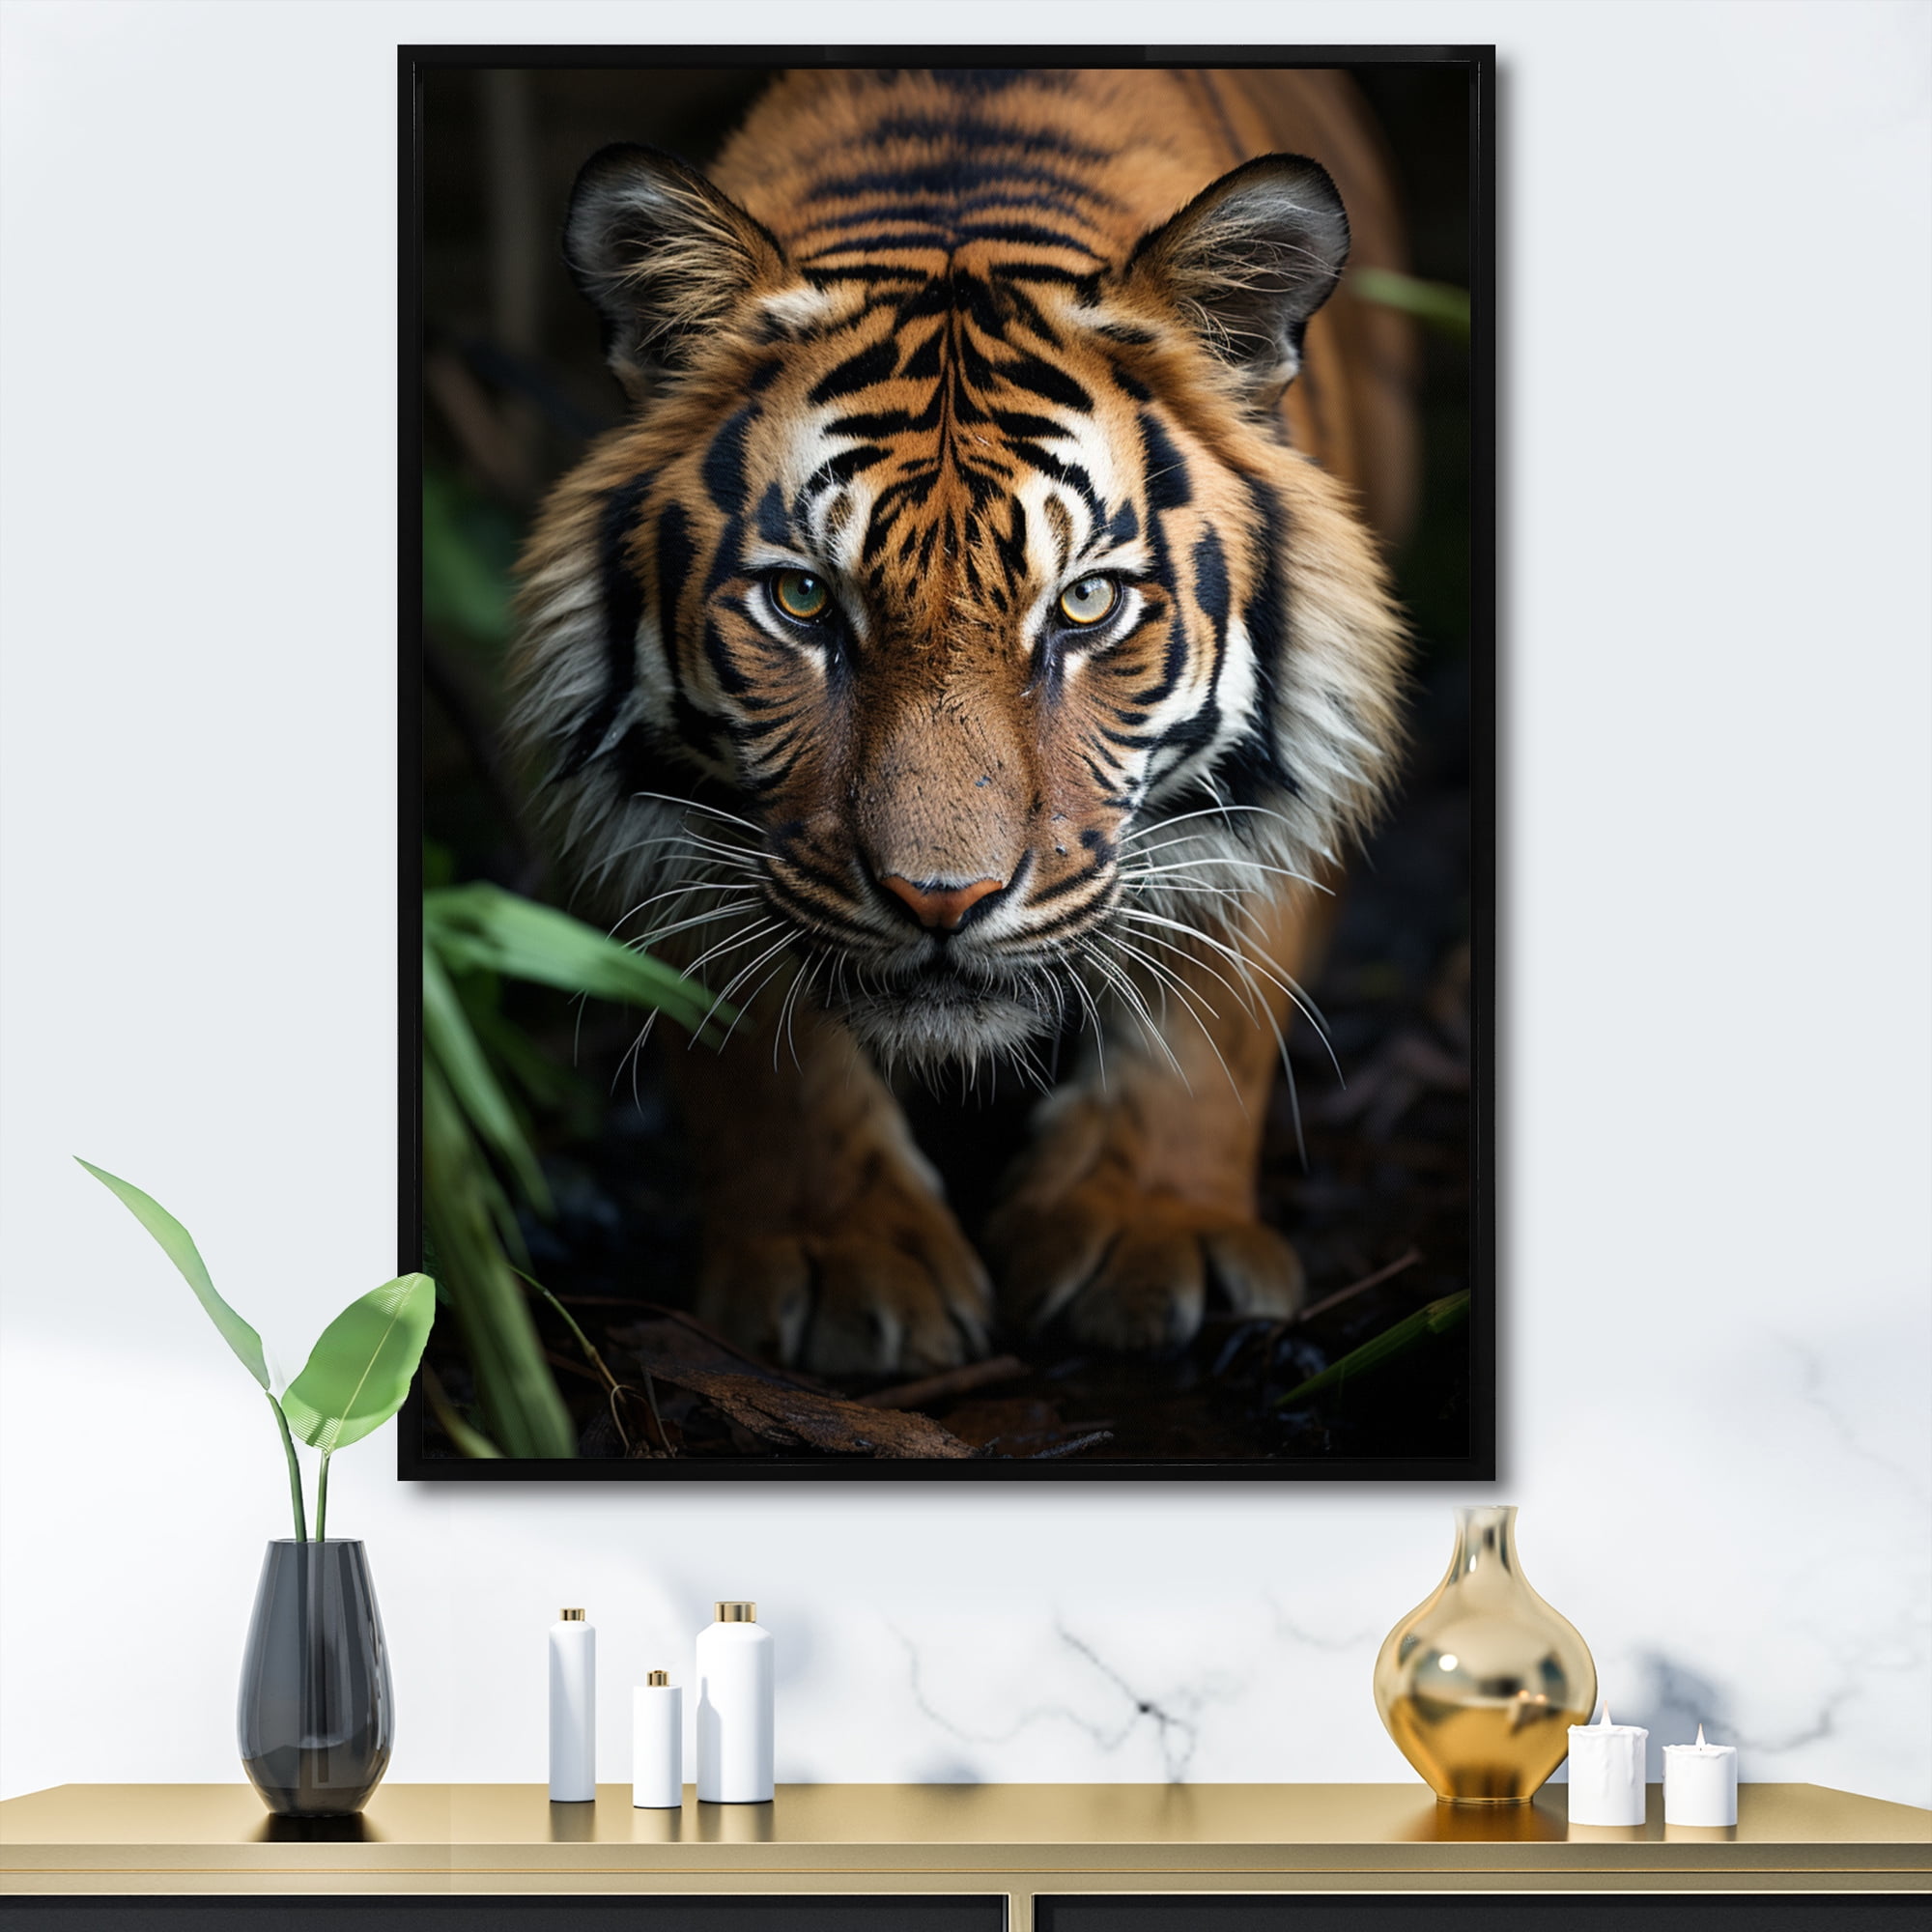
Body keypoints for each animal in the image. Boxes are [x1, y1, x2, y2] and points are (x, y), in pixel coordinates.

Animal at [511, 67, 1415, 1379]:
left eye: (1084, 602)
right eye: (802, 599)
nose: (942, 901)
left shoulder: (1280, 791)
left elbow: (1212, 1011)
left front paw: (1151, 1229)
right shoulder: (678, 824)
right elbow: (751, 1050)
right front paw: (836, 1255)